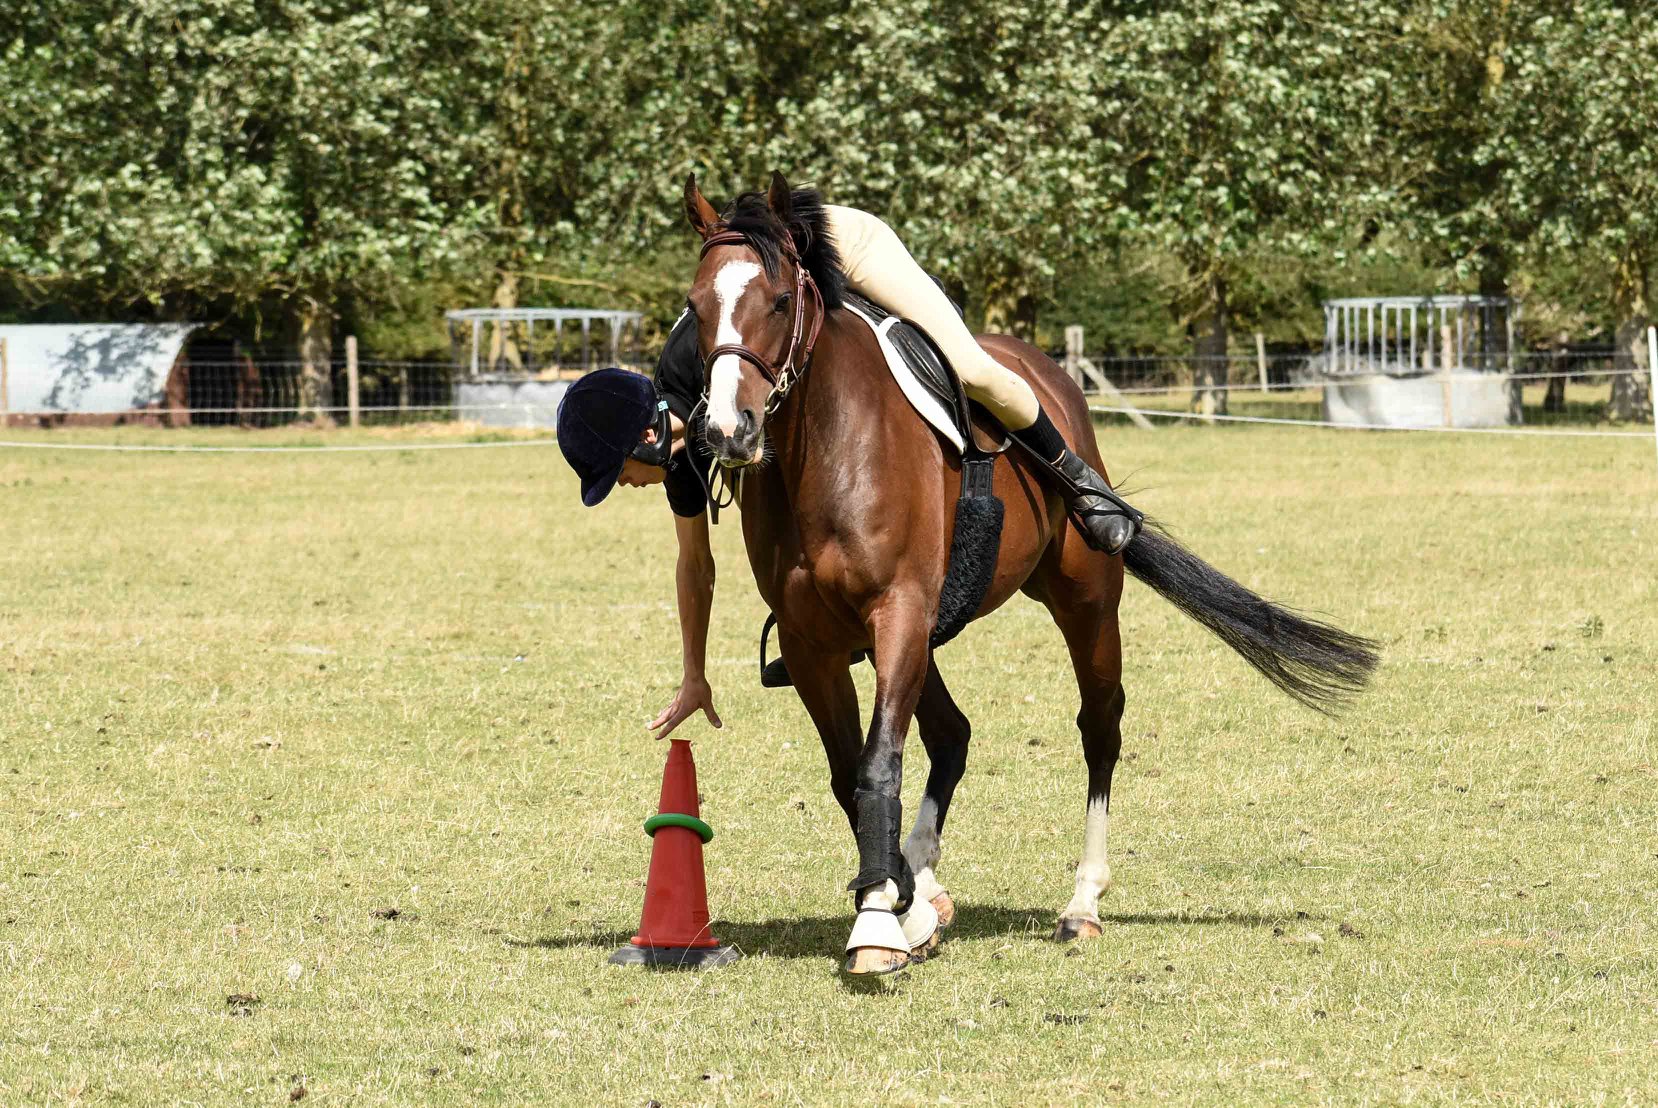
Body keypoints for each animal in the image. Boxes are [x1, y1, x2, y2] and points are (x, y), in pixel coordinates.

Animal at [682, 172, 1378, 977]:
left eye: (778, 302)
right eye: (695, 306)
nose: (728, 432)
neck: (819, 448)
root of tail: (1050, 374)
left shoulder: (898, 611)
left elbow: (878, 765)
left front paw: (878, 927)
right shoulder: (812, 642)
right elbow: (848, 773)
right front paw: (900, 906)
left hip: (1081, 599)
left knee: (1099, 726)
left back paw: (1082, 903)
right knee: (953, 734)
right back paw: (926, 892)